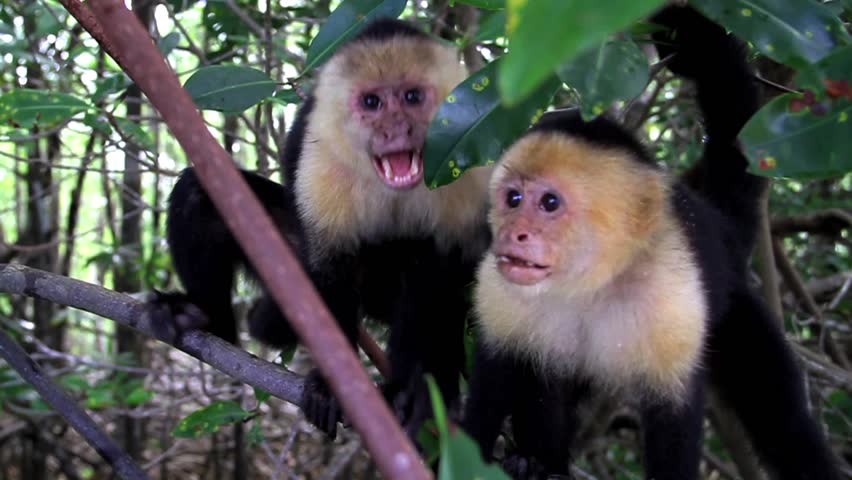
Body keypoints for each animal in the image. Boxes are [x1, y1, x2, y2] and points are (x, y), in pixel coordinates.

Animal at [149, 18, 492, 439]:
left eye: (412, 96)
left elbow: (444, 275)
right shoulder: (323, 159)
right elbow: (329, 271)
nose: (396, 128)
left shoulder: (461, 156)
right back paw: (203, 317)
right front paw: (335, 386)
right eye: (372, 103)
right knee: (200, 195)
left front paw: (422, 389)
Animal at [460, 7, 840, 480]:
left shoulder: (671, 298)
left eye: (549, 203)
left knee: (781, 417)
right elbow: (496, 377)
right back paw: (539, 460)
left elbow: (673, 418)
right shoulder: (499, 290)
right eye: (512, 199)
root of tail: (720, 227)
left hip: (735, 307)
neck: (590, 284)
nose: (514, 234)